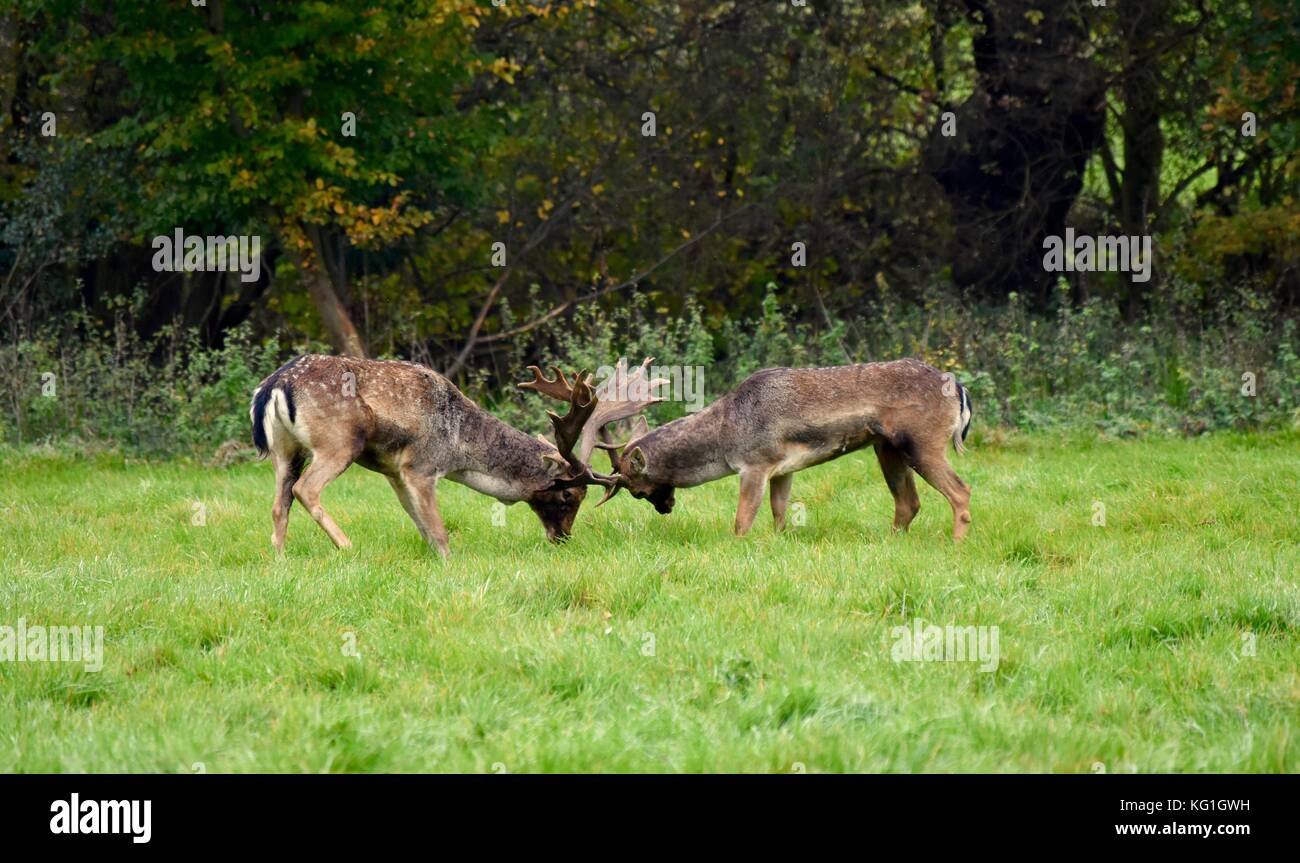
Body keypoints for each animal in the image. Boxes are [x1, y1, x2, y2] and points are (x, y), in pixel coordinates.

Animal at [248, 355, 661, 557]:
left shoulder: (393, 471)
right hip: (338, 441)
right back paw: (348, 547)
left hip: (285, 450)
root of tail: (274, 386)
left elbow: (420, 523)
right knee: (305, 489)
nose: (562, 537)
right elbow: (439, 529)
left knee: (279, 502)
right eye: (569, 494)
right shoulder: (422, 464)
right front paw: (449, 561)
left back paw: (279, 558)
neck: (460, 445)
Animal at [566, 358, 975, 541]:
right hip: (886, 447)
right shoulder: (784, 469)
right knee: (909, 502)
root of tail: (959, 390)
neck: (725, 435)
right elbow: (779, 513)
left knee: (961, 491)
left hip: (922, 442)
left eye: (636, 490)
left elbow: (742, 520)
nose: (665, 507)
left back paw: (955, 545)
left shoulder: (755, 463)